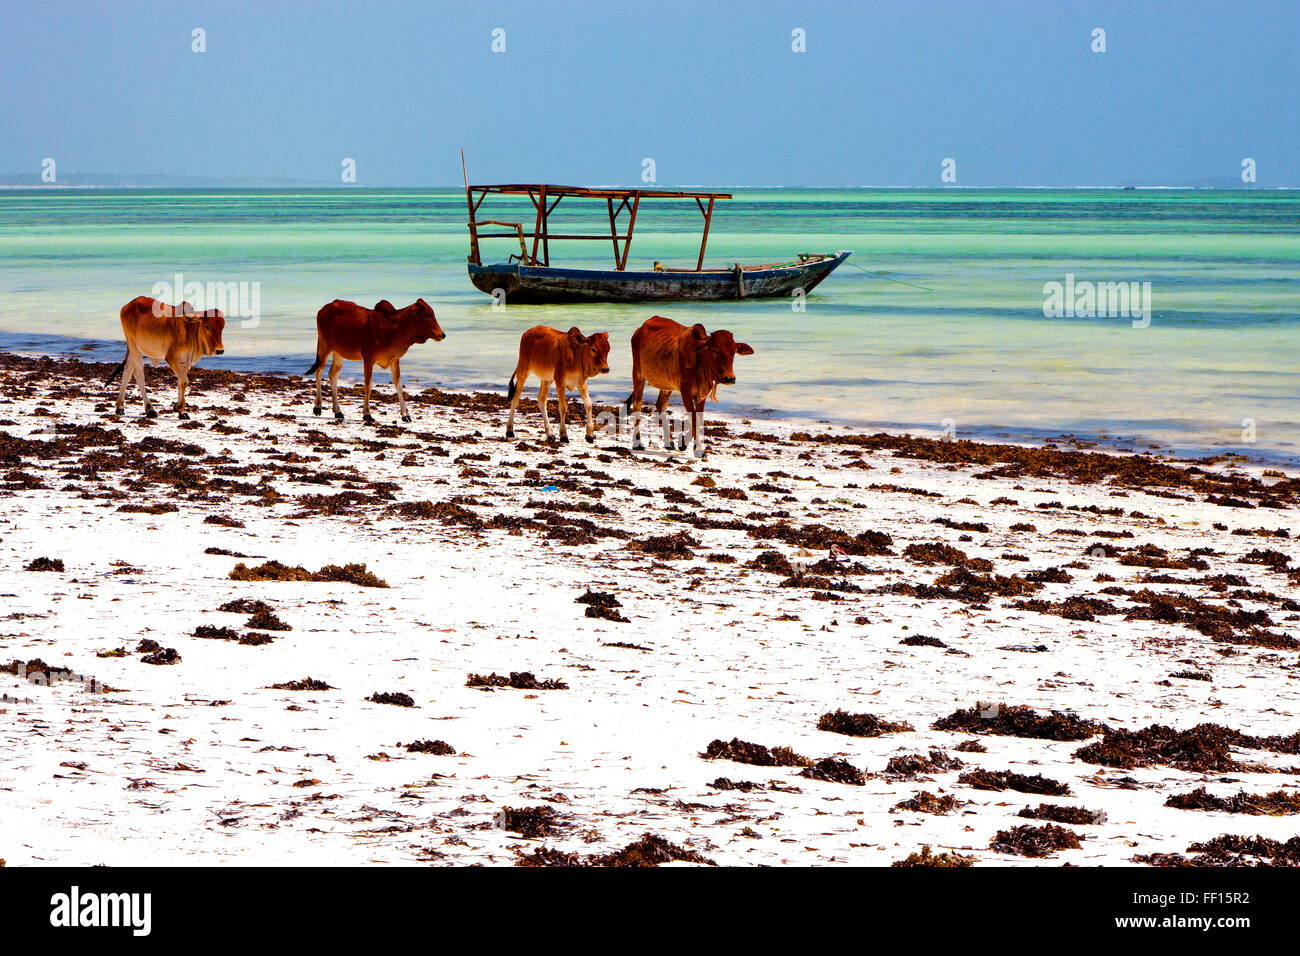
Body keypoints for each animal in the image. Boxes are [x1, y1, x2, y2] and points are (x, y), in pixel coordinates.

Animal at [306, 298, 445, 423]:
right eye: (426, 314)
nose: (442, 334)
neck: (392, 328)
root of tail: (325, 308)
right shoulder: (368, 359)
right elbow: (368, 386)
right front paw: (367, 414)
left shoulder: (394, 360)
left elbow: (398, 386)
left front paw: (405, 415)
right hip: (324, 348)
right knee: (319, 372)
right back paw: (317, 407)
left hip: (338, 353)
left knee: (333, 374)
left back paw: (338, 412)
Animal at [622, 316, 753, 457]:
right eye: (715, 350)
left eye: (733, 352)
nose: (729, 378)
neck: (701, 362)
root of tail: (640, 329)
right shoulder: (685, 390)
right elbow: (694, 418)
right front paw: (698, 449)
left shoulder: (702, 393)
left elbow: (699, 419)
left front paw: (684, 444)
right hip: (638, 374)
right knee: (637, 405)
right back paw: (637, 442)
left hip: (667, 385)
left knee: (660, 405)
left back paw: (669, 442)